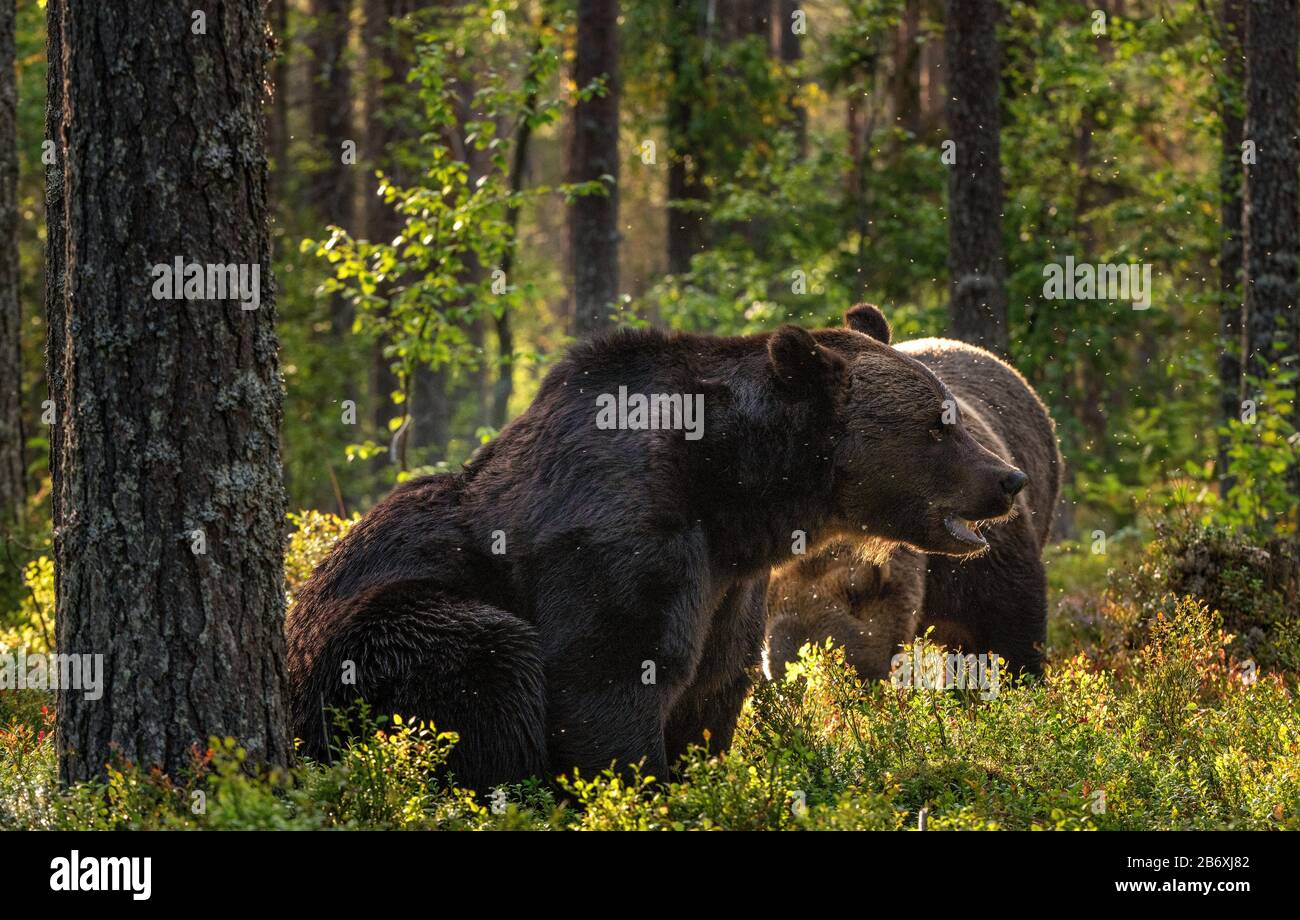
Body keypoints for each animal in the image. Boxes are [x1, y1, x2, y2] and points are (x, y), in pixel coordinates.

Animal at [286, 305, 1030, 791]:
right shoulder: (618, 542)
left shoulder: (730, 587)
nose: (1008, 479)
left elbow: (713, 689)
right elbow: (609, 679)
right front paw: (628, 791)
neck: (732, 492)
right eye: (938, 423)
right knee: (484, 658)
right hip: (373, 642)